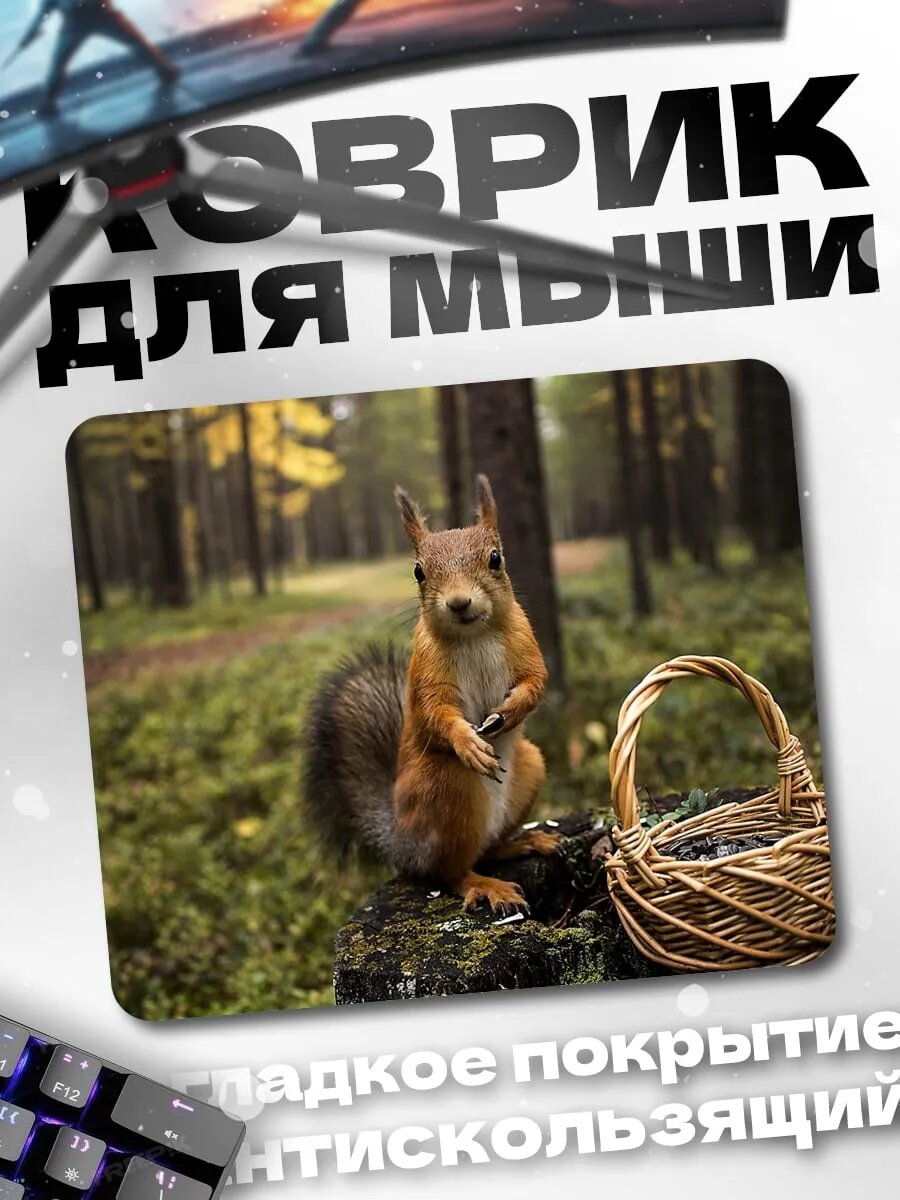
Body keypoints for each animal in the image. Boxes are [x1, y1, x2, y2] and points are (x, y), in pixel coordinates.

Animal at [303, 474, 560, 913]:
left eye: (496, 558)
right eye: (419, 571)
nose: (459, 602)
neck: (474, 634)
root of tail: (403, 844)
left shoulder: (526, 644)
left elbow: (535, 682)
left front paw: (511, 710)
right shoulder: (426, 670)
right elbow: (434, 712)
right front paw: (467, 742)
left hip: (530, 767)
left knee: (487, 849)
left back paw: (525, 841)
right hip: (447, 790)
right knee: (448, 871)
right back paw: (486, 884)